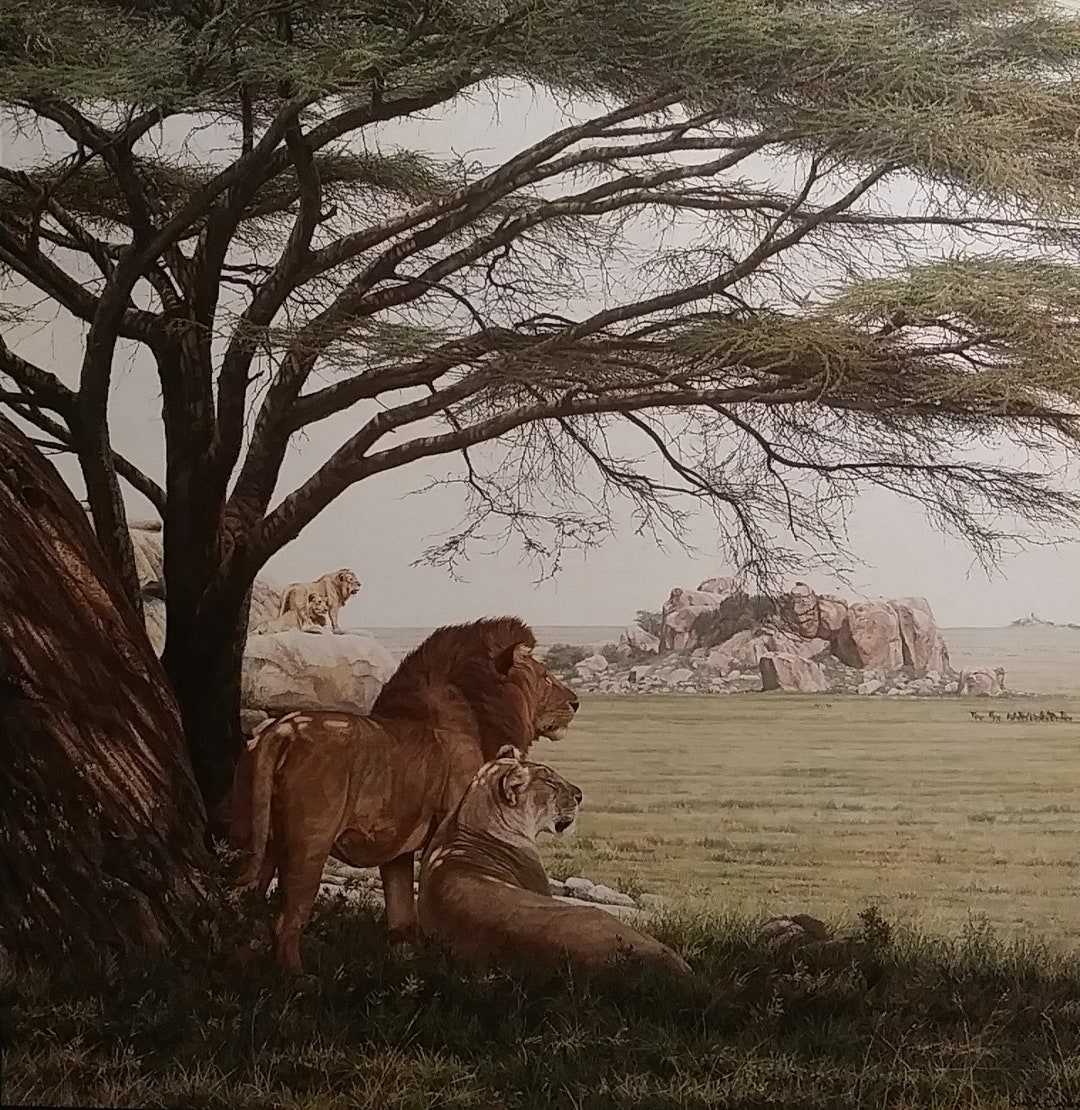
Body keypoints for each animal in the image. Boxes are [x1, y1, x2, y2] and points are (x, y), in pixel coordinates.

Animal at [229, 617, 579, 973]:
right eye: (545, 677)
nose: (576, 702)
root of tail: (281, 731)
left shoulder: (397, 848)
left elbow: (401, 919)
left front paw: (406, 968)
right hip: (308, 847)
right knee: (286, 922)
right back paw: (298, 979)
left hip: (256, 842)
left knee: (244, 904)